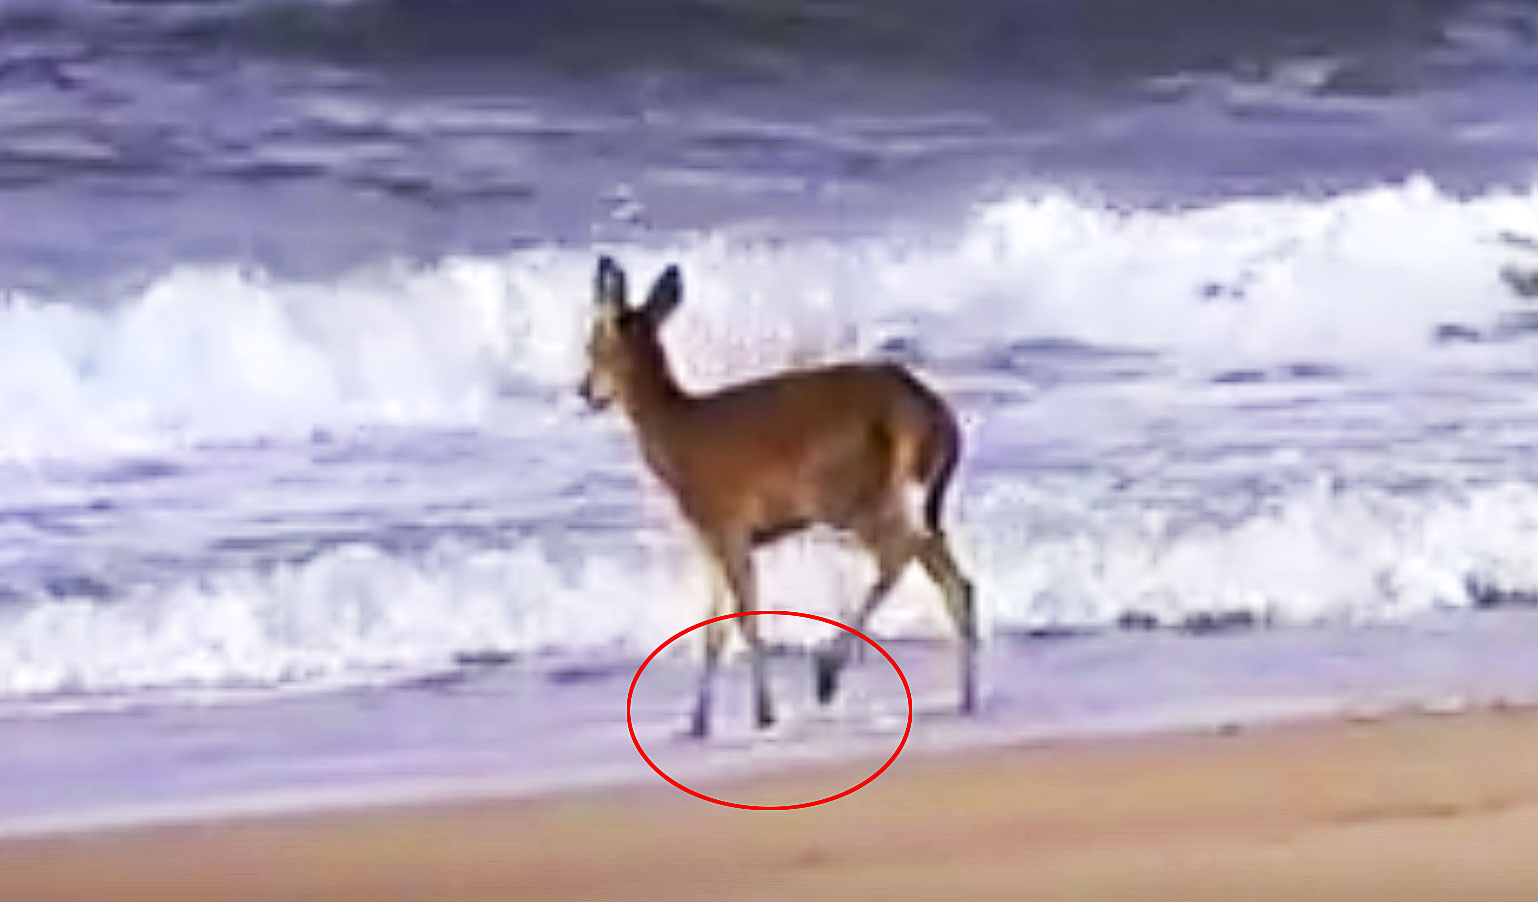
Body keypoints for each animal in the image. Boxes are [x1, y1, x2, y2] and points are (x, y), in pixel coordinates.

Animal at [578, 255, 977, 738]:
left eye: (594, 344)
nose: (585, 391)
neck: (678, 434)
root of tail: (935, 416)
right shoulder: (711, 540)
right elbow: (713, 629)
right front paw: (697, 722)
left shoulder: (727, 523)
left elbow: (746, 619)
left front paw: (763, 714)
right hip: (905, 497)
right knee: (951, 575)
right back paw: (965, 698)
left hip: (848, 492)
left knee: (900, 553)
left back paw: (828, 673)